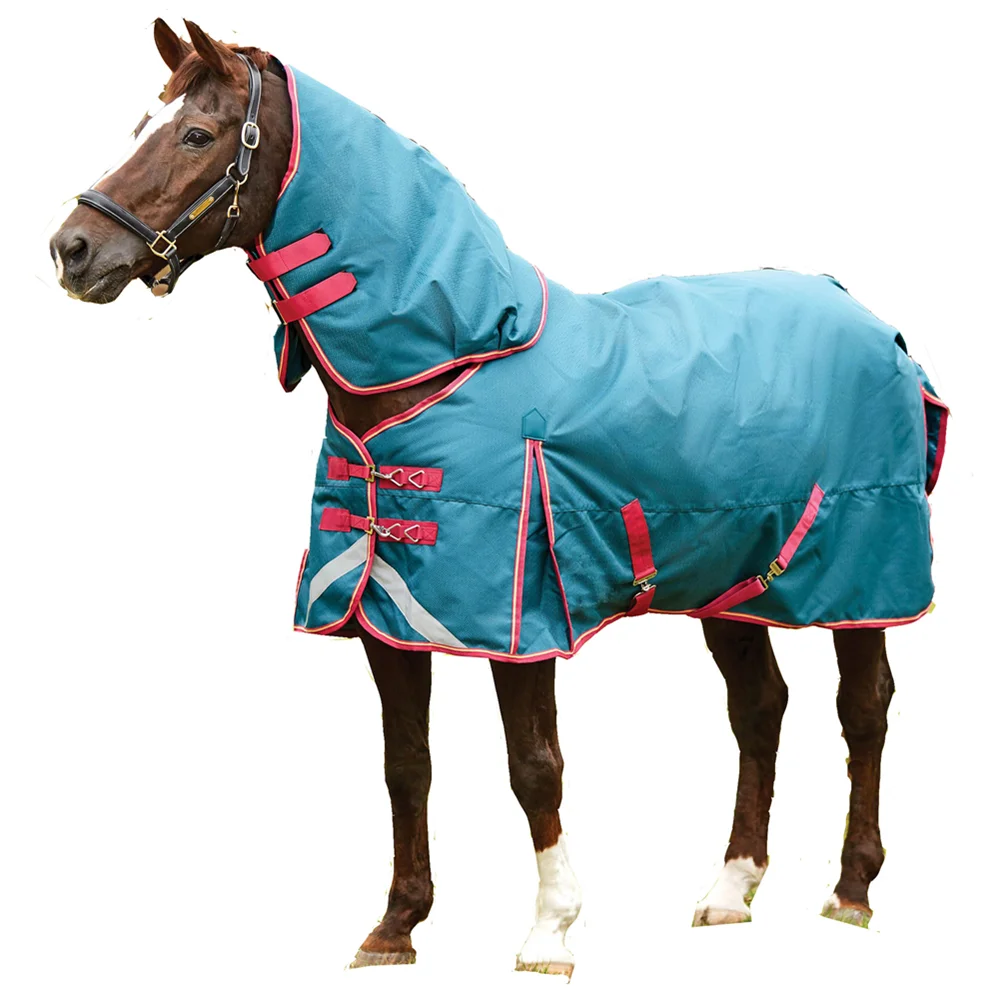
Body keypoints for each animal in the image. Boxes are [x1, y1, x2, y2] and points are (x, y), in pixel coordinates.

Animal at [50, 19, 946, 977]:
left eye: (196, 134)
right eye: (142, 122)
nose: (71, 250)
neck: (452, 358)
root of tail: (878, 325)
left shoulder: (519, 620)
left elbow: (534, 766)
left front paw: (551, 930)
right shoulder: (385, 611)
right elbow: (406, 764)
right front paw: (395, 927)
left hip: (860, 576)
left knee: (864, 709)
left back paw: (850, 890)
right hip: (730, 584)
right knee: (759, 708)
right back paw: (730, 889)